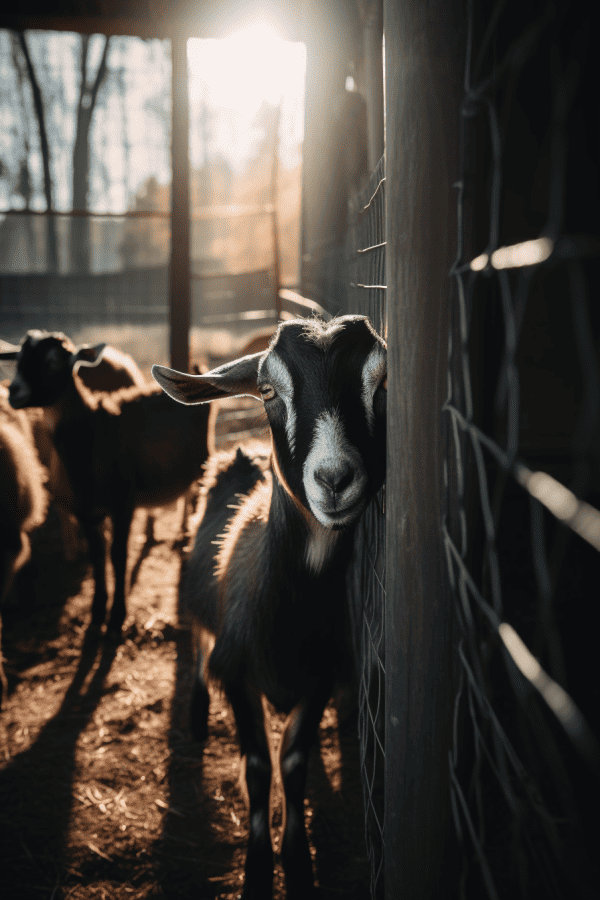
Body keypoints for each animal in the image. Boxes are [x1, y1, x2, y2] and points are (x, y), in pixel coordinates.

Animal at [5, 330, 217, 639]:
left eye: (53, 361)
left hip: (203, 464)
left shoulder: (122, 504)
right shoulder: (86, 511)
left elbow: (117, 555)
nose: (13, 392)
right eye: (18, 359)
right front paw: (95, 617)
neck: (90, 436)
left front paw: (116, 618)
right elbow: (97, 557)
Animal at [153, 314, 386, 900]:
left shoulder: (323, 674)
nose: (334, 479)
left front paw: (298, 863)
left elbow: (294, 761)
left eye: (379, 382)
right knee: (198, 644)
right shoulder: (238, 673)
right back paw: (196, 713)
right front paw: (258, 871)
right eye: (266, 390)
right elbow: (259, 767)